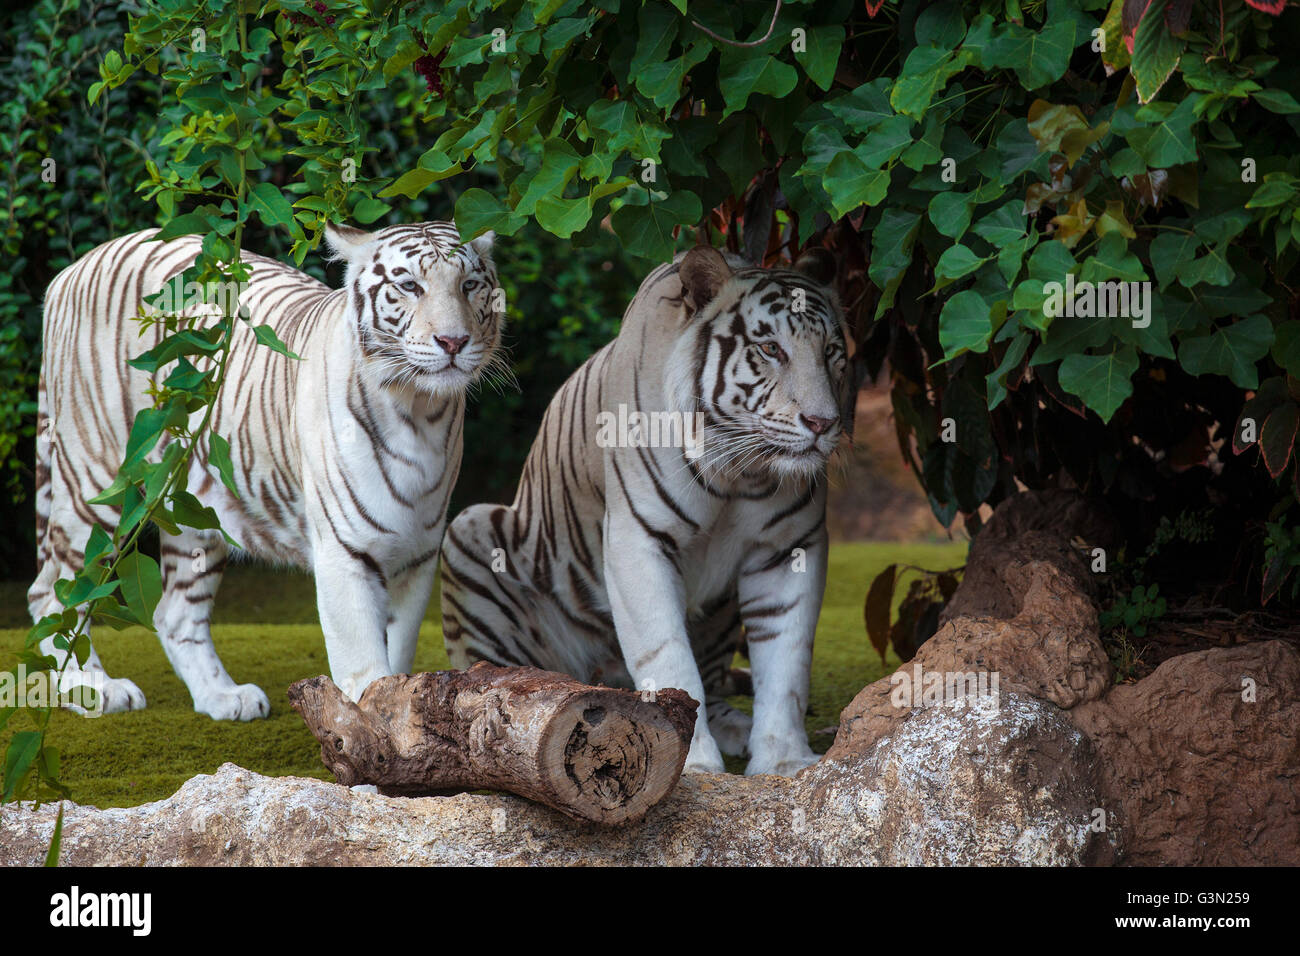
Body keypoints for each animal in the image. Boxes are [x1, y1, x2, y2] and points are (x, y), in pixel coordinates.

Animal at [29, 222, 501, 720]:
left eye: (469, 285)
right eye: (410, 286)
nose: (453, 342)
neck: (419, 411)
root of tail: (72, 270)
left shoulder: (416, 555)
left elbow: (398, 651)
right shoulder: (345, 552)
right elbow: (364, 666)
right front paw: (370, 725)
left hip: (195, 509)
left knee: (174, 612)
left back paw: (221, 697)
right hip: (99, 481)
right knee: (55, 590)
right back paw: (93, 687)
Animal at [439, 245, 848, 775]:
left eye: (831, 353)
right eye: (771, 349)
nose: (823, 423)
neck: (741, 472)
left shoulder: (790, 547)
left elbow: (787, 662)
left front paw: (784, 762)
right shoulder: (638, 540)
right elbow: (667, 658)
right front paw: (693, 764)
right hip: (470, 536)